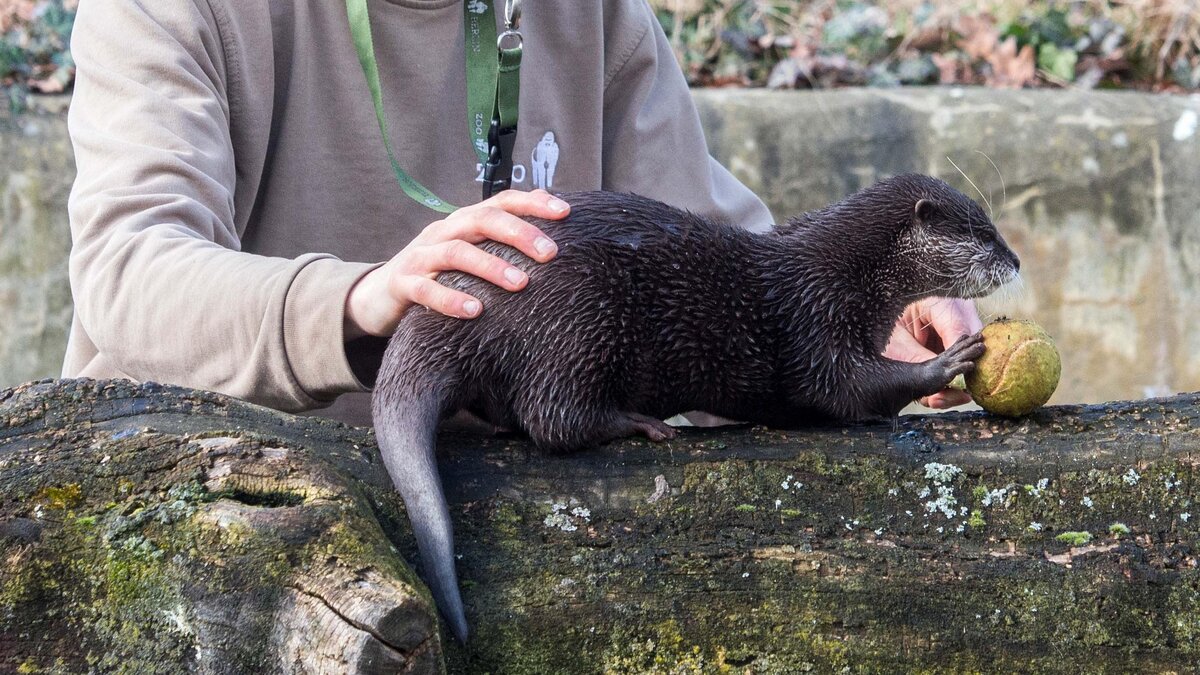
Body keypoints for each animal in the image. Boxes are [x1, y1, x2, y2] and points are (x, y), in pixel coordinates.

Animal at [372, 174, 1021, 642]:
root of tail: (466, 299)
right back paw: (640, 423)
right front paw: (950, 359)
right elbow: (843, 388)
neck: (845, 274)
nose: (1015, 260)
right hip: (578, 314)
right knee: (553, 418)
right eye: (983, 233)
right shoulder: (815, 320)